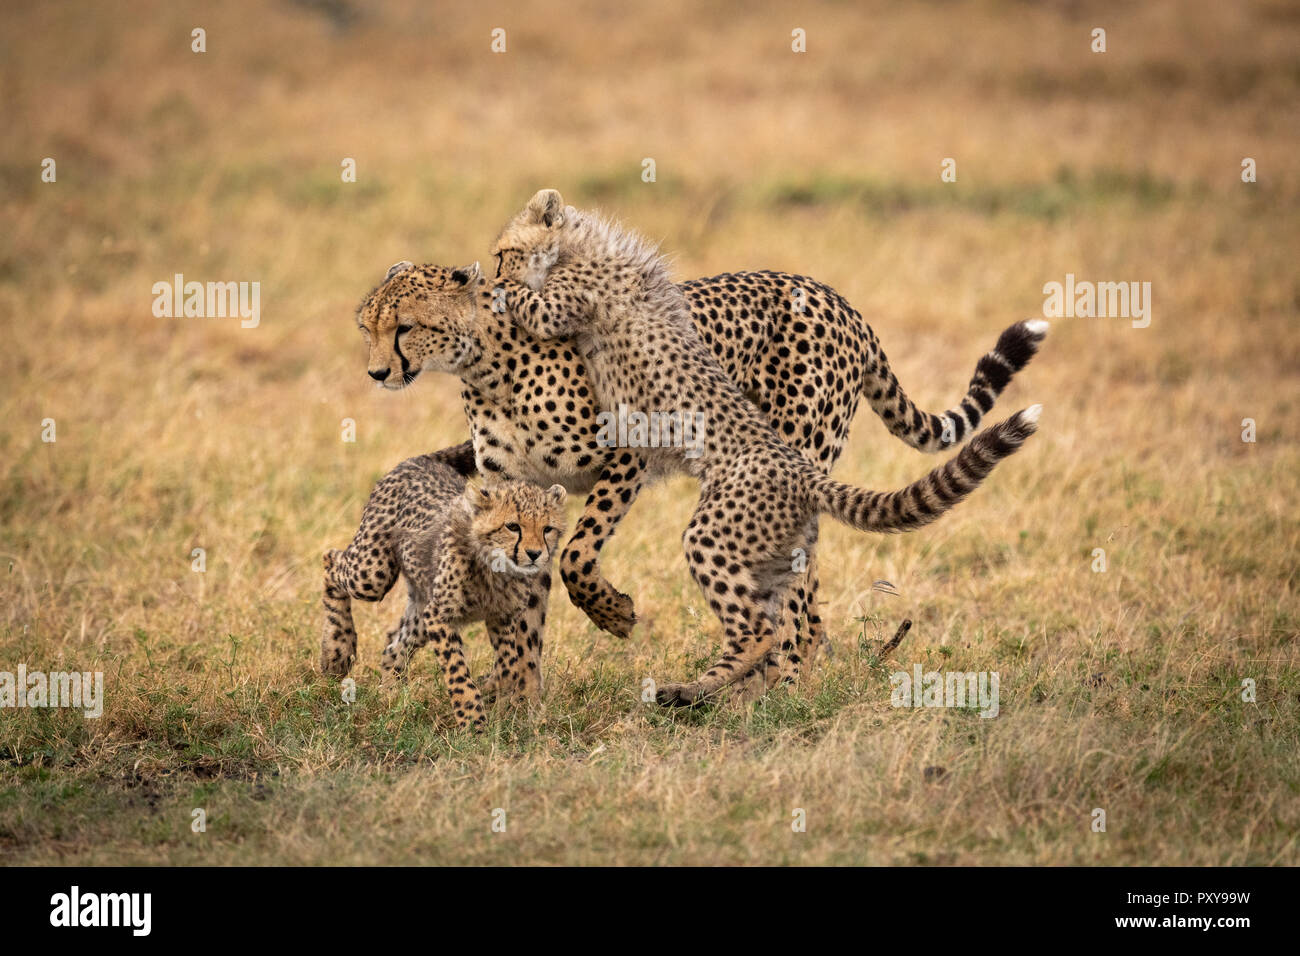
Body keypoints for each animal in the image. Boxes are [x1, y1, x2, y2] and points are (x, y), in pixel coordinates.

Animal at [319, 446, 566, 729]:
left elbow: (509, 665)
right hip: (372, 573)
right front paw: (472, 721)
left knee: (394, 648)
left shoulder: (501, 618)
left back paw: (391, 695)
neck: (496, 568)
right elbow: (458, 672)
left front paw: (492, 689)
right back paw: (337, 652)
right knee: (330, 559)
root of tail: (422, 459)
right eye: (513, 526)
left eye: (547, 529)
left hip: (421, 608)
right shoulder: (440, 616)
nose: (535, 554)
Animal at [354, 211, 1046, 689]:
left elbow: (577, 554)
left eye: (405, 327)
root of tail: (834, 296)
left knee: (795, 606)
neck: (486, 362)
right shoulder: (511, 497)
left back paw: (780, 691)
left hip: (780, 465)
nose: (376, 374)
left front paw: (612, 615)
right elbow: (522, 603)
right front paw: (515, 696)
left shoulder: (627, 452)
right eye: (367, 326)